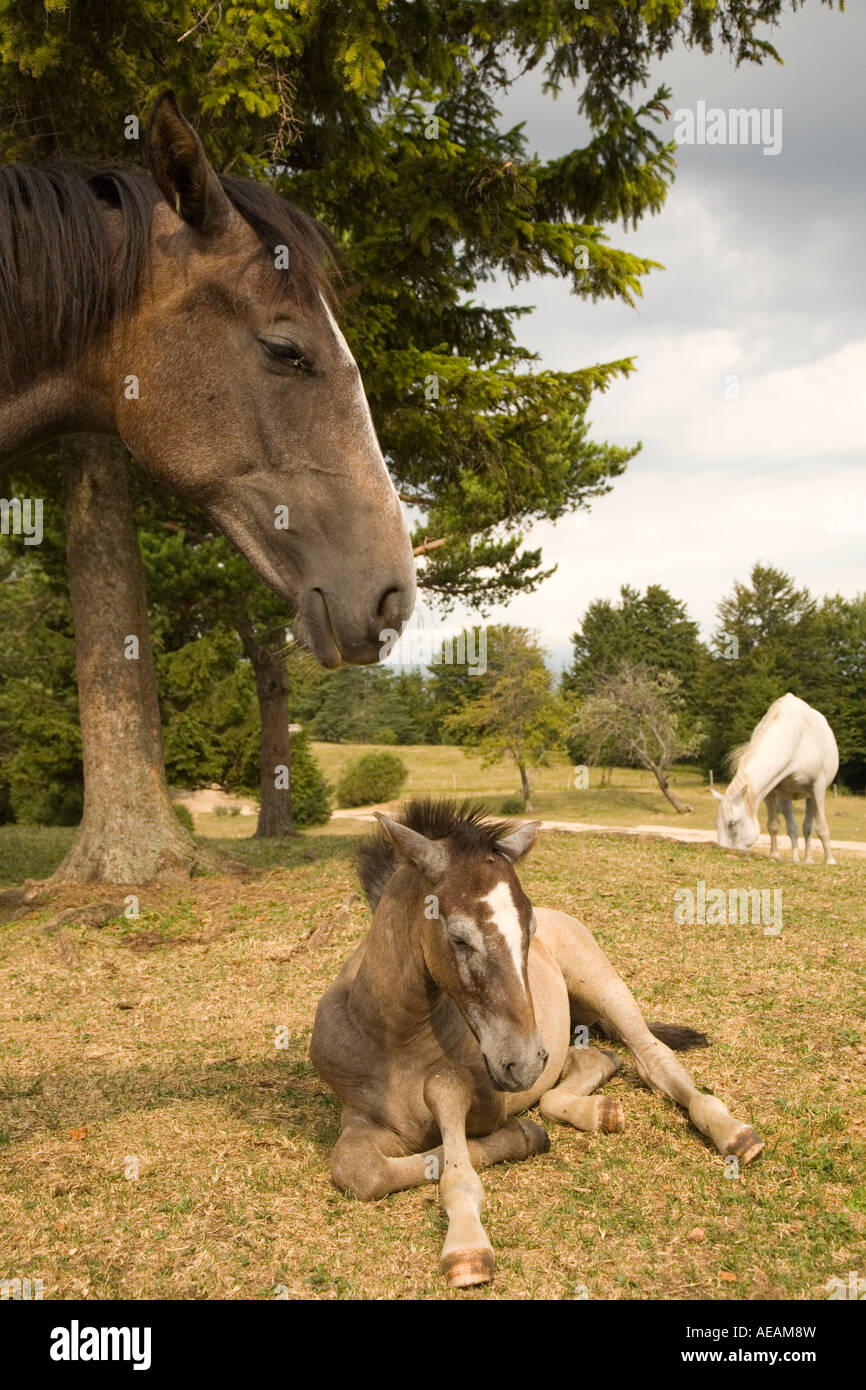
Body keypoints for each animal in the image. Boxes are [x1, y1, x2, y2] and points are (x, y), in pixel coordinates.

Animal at [310, 800, 763, 1288]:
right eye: (459, 938)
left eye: (530, 930)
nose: (524, 1060)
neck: (394, 1036)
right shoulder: (361, 1116)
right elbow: (358, 1168)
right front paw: (527, 1135)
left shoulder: (487, 1099)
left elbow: (446, 1106)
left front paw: (469, 1238)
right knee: (592, 1061)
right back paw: (598, 1110)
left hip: (602, 985)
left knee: (652, 1057)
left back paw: (734, 1133)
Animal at [712, 694, 839, 864]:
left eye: (732, 824)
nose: (723, 851)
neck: (796, 739)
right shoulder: (770, 791)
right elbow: (773, 825)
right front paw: (774, 855)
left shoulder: (817, 787)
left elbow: (821, 826)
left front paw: (830, 860)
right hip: (785, 798)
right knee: (793, 827)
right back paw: (796, 859)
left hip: (810, 796)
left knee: (808, 826)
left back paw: (808, 860)